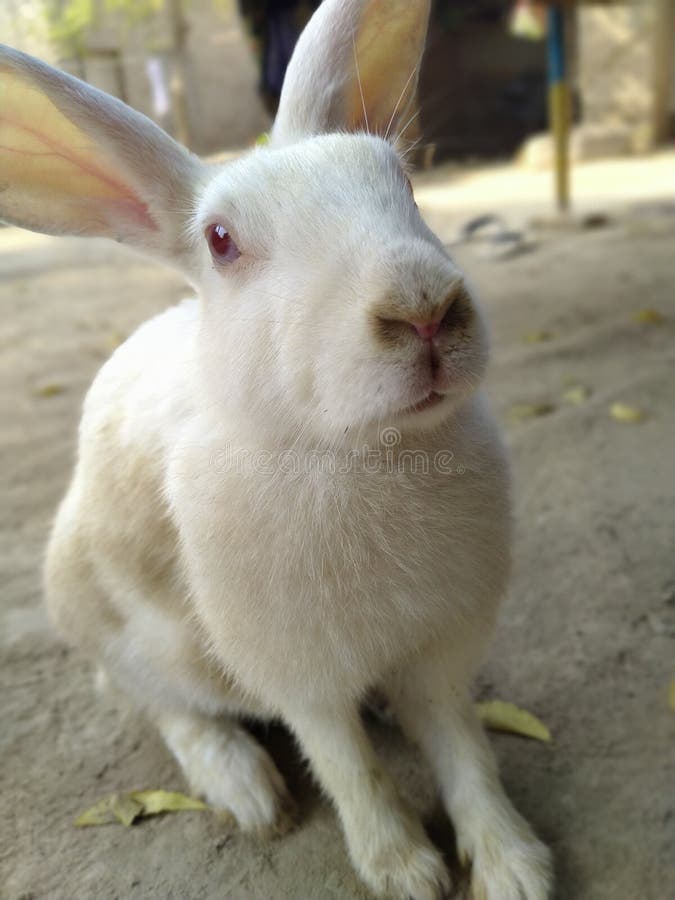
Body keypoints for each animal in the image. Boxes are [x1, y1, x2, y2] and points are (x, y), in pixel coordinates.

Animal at [0, 1, 553, 898]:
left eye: (401, 183)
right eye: (221, 240)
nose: (423, 309)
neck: (362, 451)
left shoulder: (439, 650)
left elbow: (463, 749)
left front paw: (512, 865)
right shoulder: (298, 671)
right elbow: (346, 765)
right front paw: (403, 869)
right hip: (124, 633)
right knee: (163, 705)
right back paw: (242, 784)